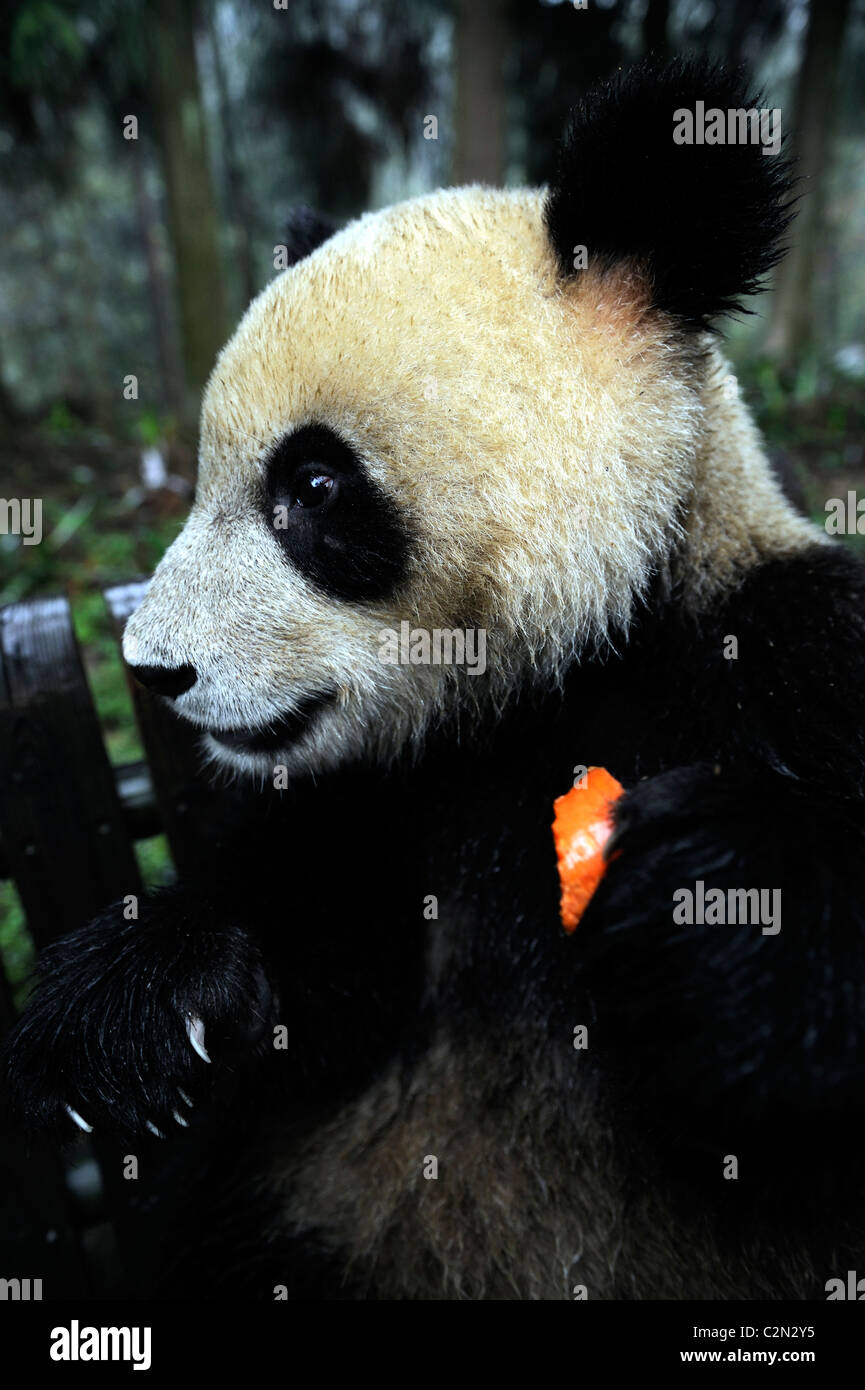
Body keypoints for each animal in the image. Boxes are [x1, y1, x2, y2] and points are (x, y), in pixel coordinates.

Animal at [6, 57, 865, 1301]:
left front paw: (709, 897)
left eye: (313, 486)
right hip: (314, 1214)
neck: (543, 689)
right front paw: (137, 1007)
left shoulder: (775, 649)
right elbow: (323, 981)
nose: (154, 670)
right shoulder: (390, 786)